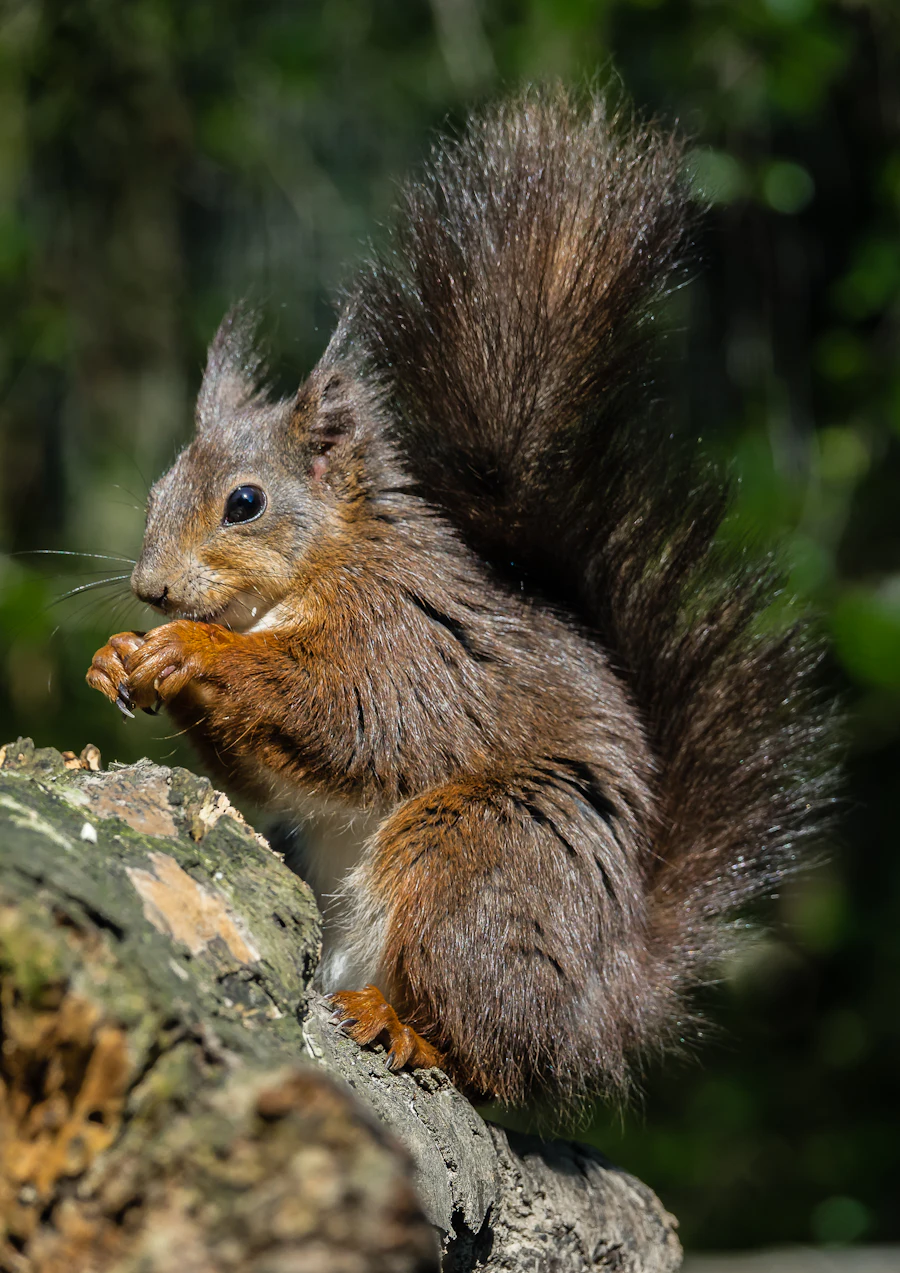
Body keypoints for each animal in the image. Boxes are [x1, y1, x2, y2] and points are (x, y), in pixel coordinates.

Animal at [86, 88, 833, 1109]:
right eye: (160, 488)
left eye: (245, 502)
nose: (149, 589)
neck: (325, 563)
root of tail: (602, 1004)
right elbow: (264, 771)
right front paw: (120, 657)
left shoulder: (403, 638)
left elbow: (349, 710)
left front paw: (199, 650)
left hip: (478, 858)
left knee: (490, 1048)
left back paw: (404, 1025)